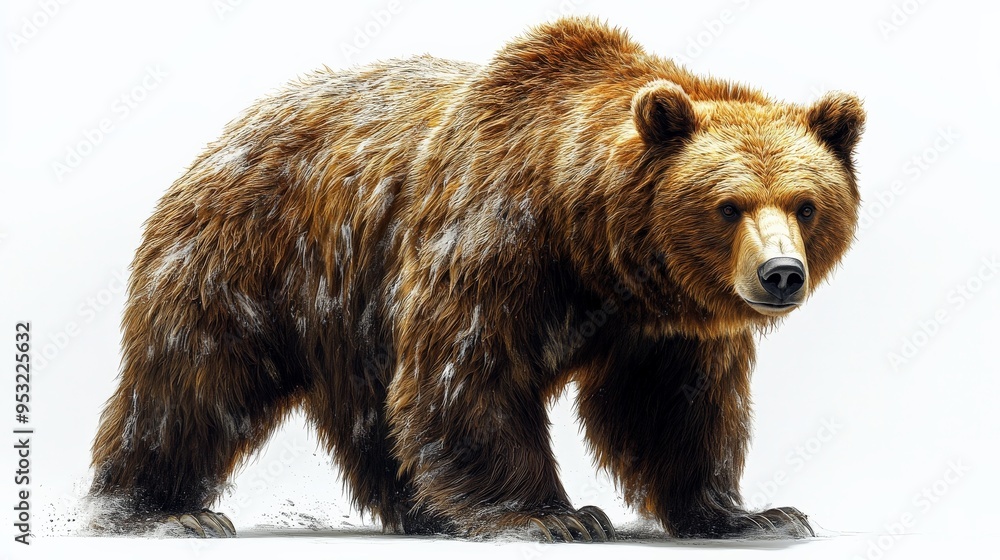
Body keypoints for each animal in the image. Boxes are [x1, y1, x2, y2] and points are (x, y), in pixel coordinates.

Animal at [88, 17, 864, 541]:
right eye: (728, 205)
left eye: (805, 203)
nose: (781, 273)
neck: (593, 243)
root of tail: (232, 129)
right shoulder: (494, 238)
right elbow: (468, 371)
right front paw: (553, 517)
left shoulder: (661, 323)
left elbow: (674, 405)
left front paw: (753, 514)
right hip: (249, 259)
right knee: (194, 378)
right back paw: (157, 511)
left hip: (350, 306)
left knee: (373, 409)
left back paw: (420, 509)